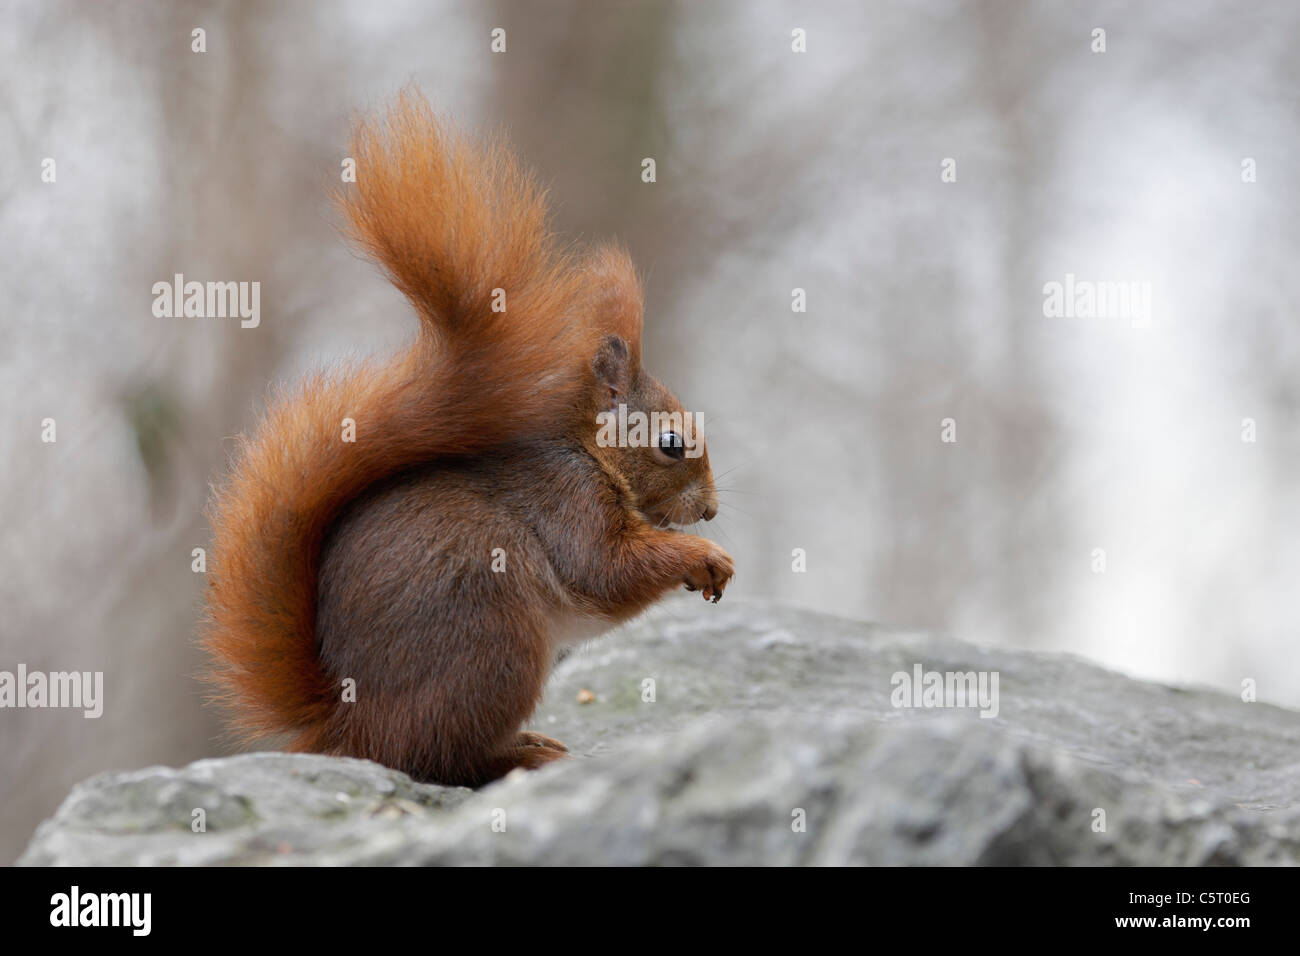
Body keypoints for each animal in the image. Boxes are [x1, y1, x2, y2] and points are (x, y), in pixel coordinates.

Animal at [199, 91, 734, 787]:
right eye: (671, 443)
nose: (711, 510)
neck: (591, 456)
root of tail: (346, 725)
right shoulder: (568, 502)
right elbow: (605, 569)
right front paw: (705, 558)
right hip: (494, 643)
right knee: (436, 758)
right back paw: (522, 755)